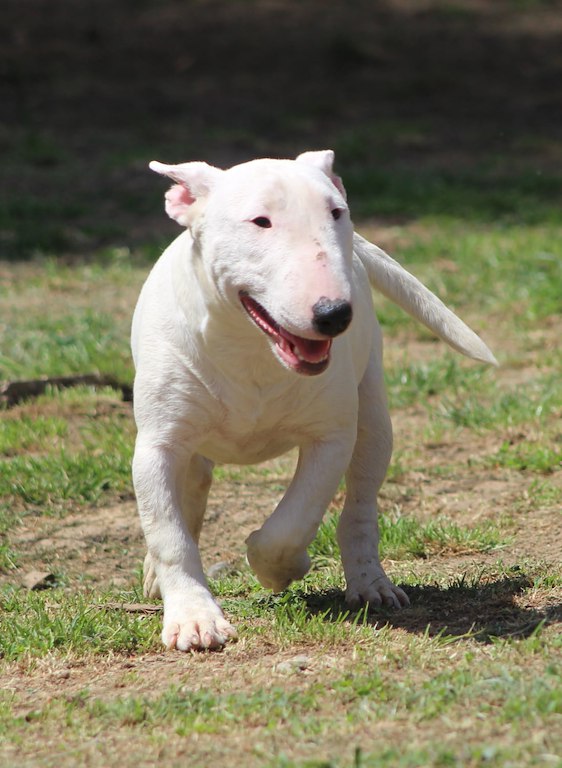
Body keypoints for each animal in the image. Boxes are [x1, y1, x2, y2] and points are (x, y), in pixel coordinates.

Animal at [129, 152, 492, 656]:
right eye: (260, 221)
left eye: (337, 213)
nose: (335, 315)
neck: (251, 350)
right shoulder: (156, 446)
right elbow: (168, 532)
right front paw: (193, 618)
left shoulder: (331, 437)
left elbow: (291, 523)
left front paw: (281, 567)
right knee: (192, 486)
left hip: (373, 417)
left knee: (359, 508)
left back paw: (371, 583)